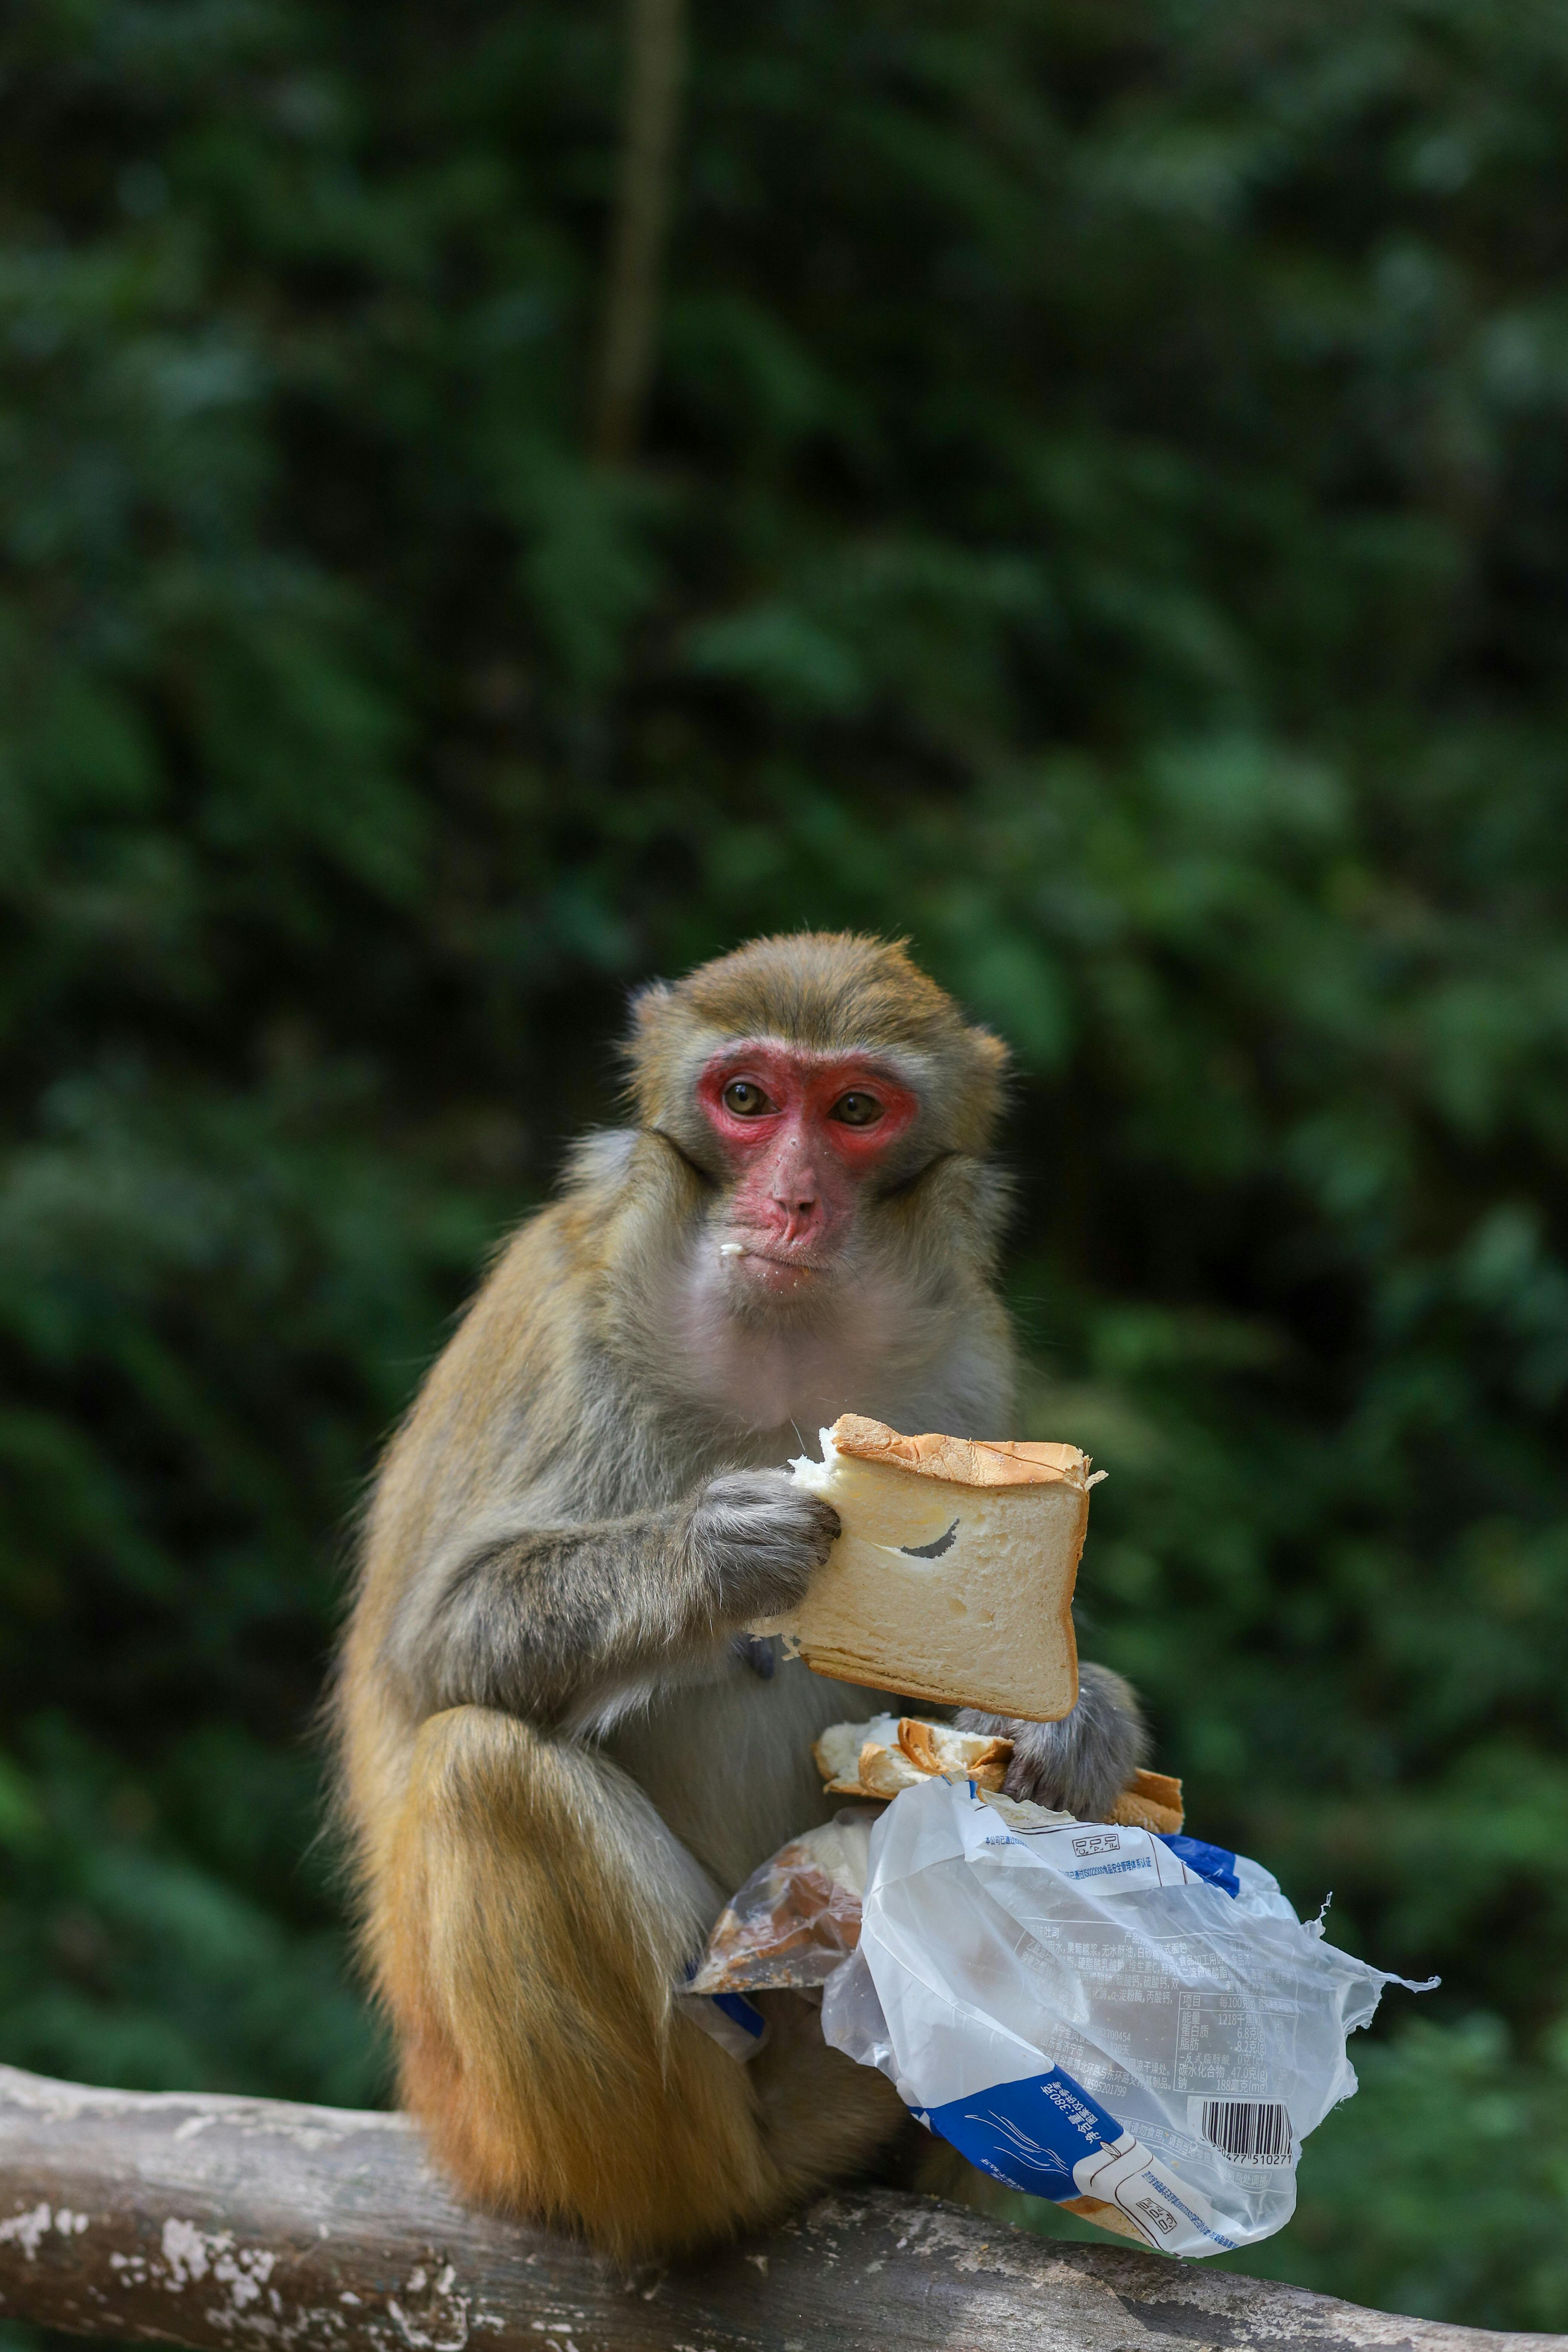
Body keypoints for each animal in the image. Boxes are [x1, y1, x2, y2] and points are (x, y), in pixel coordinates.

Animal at [333, 932, 1146, 2260]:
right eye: (749, 1099)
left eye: (857, 1111)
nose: (793, 1201)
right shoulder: (555, 1303)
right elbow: (437, 1641)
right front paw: (718, 1554)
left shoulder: (968, 1355)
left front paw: (1071, 1721)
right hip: (533, 2129)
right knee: (483, 1768)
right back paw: (723, 2181)